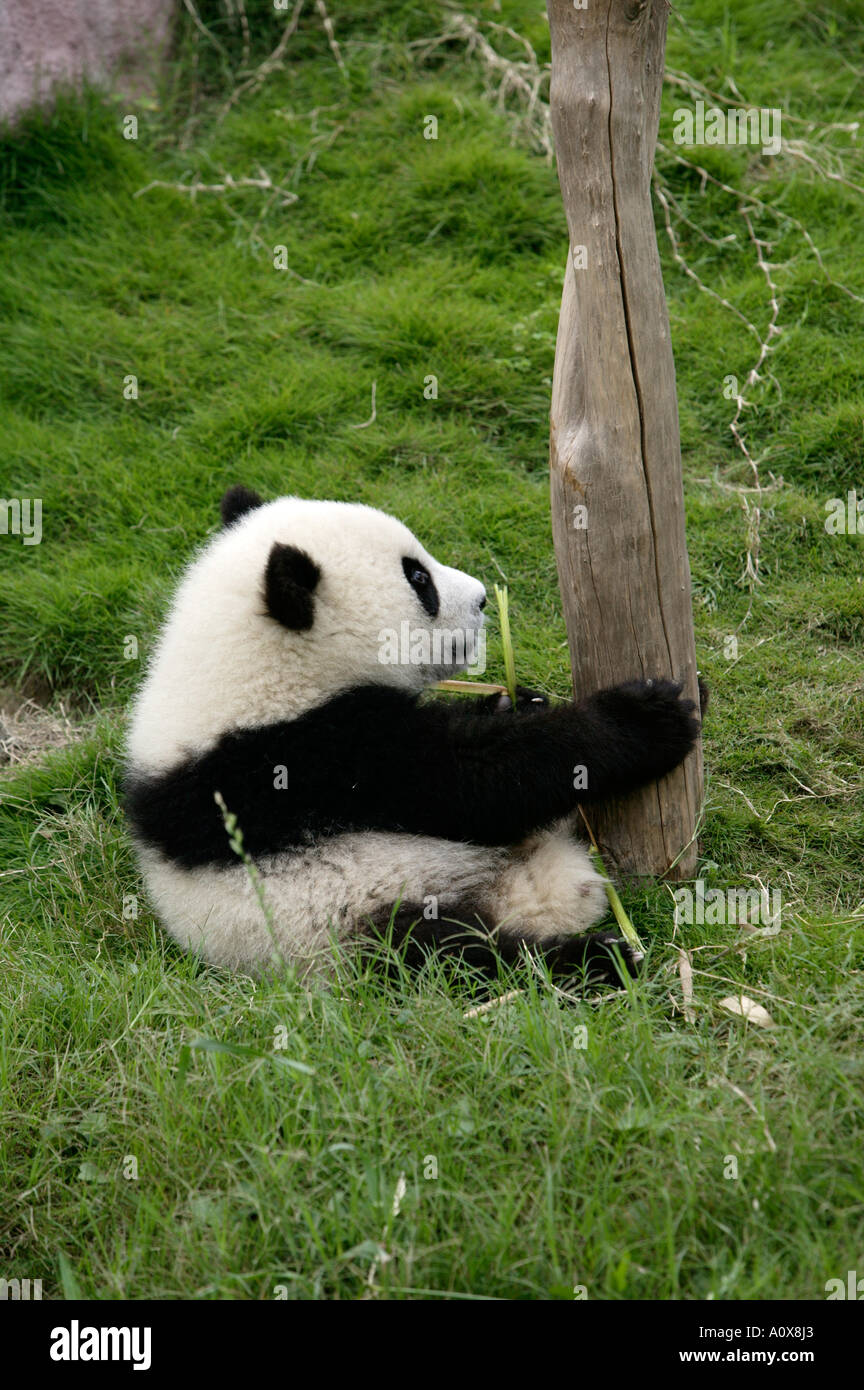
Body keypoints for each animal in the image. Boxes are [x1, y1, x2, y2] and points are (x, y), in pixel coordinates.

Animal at [124, 487, 700, 983]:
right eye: (419, 580)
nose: (483, 599)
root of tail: (529, 896)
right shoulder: (301, 755)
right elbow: (473, 784)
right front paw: (651, 716)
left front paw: (518, 702)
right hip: (340, 924)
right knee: (441, 957)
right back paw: (596, 960)